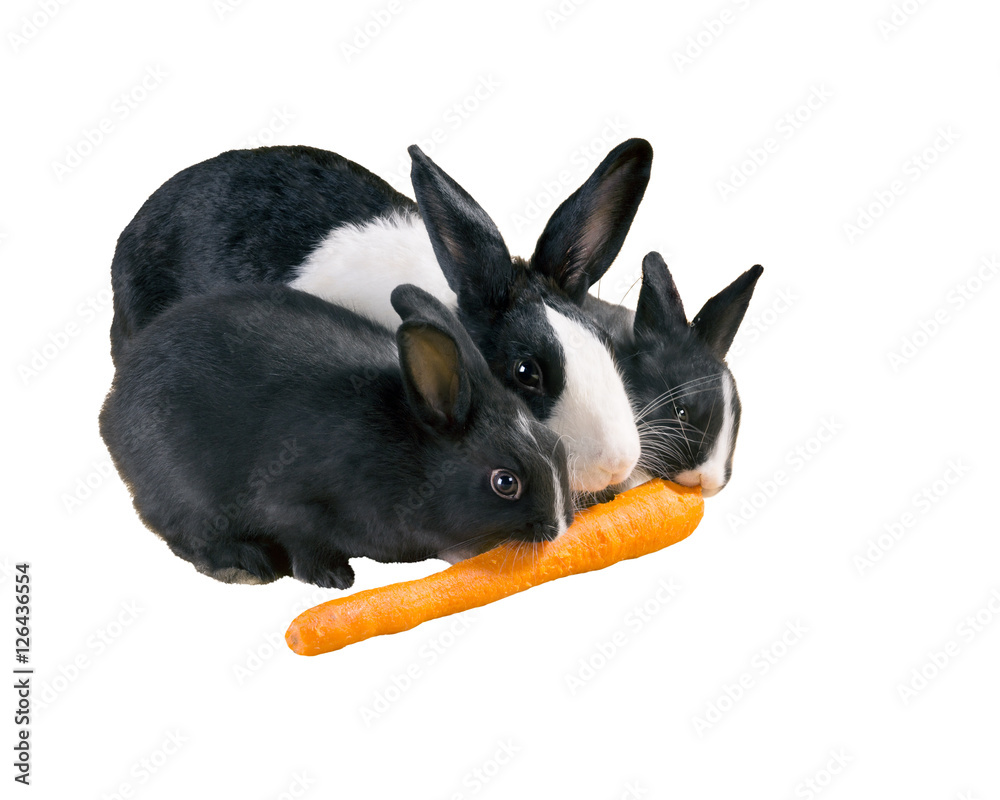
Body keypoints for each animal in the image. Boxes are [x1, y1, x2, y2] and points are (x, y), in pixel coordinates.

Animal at [99, 283, 574, 587]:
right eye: (505, 482)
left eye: (557, 447)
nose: (558, 529)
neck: (415, 457)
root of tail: (113, 406)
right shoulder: (295, 504)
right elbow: (306, 543)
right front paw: (332, 578)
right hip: (185, 491)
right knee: (184, 535)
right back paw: (244, 564)